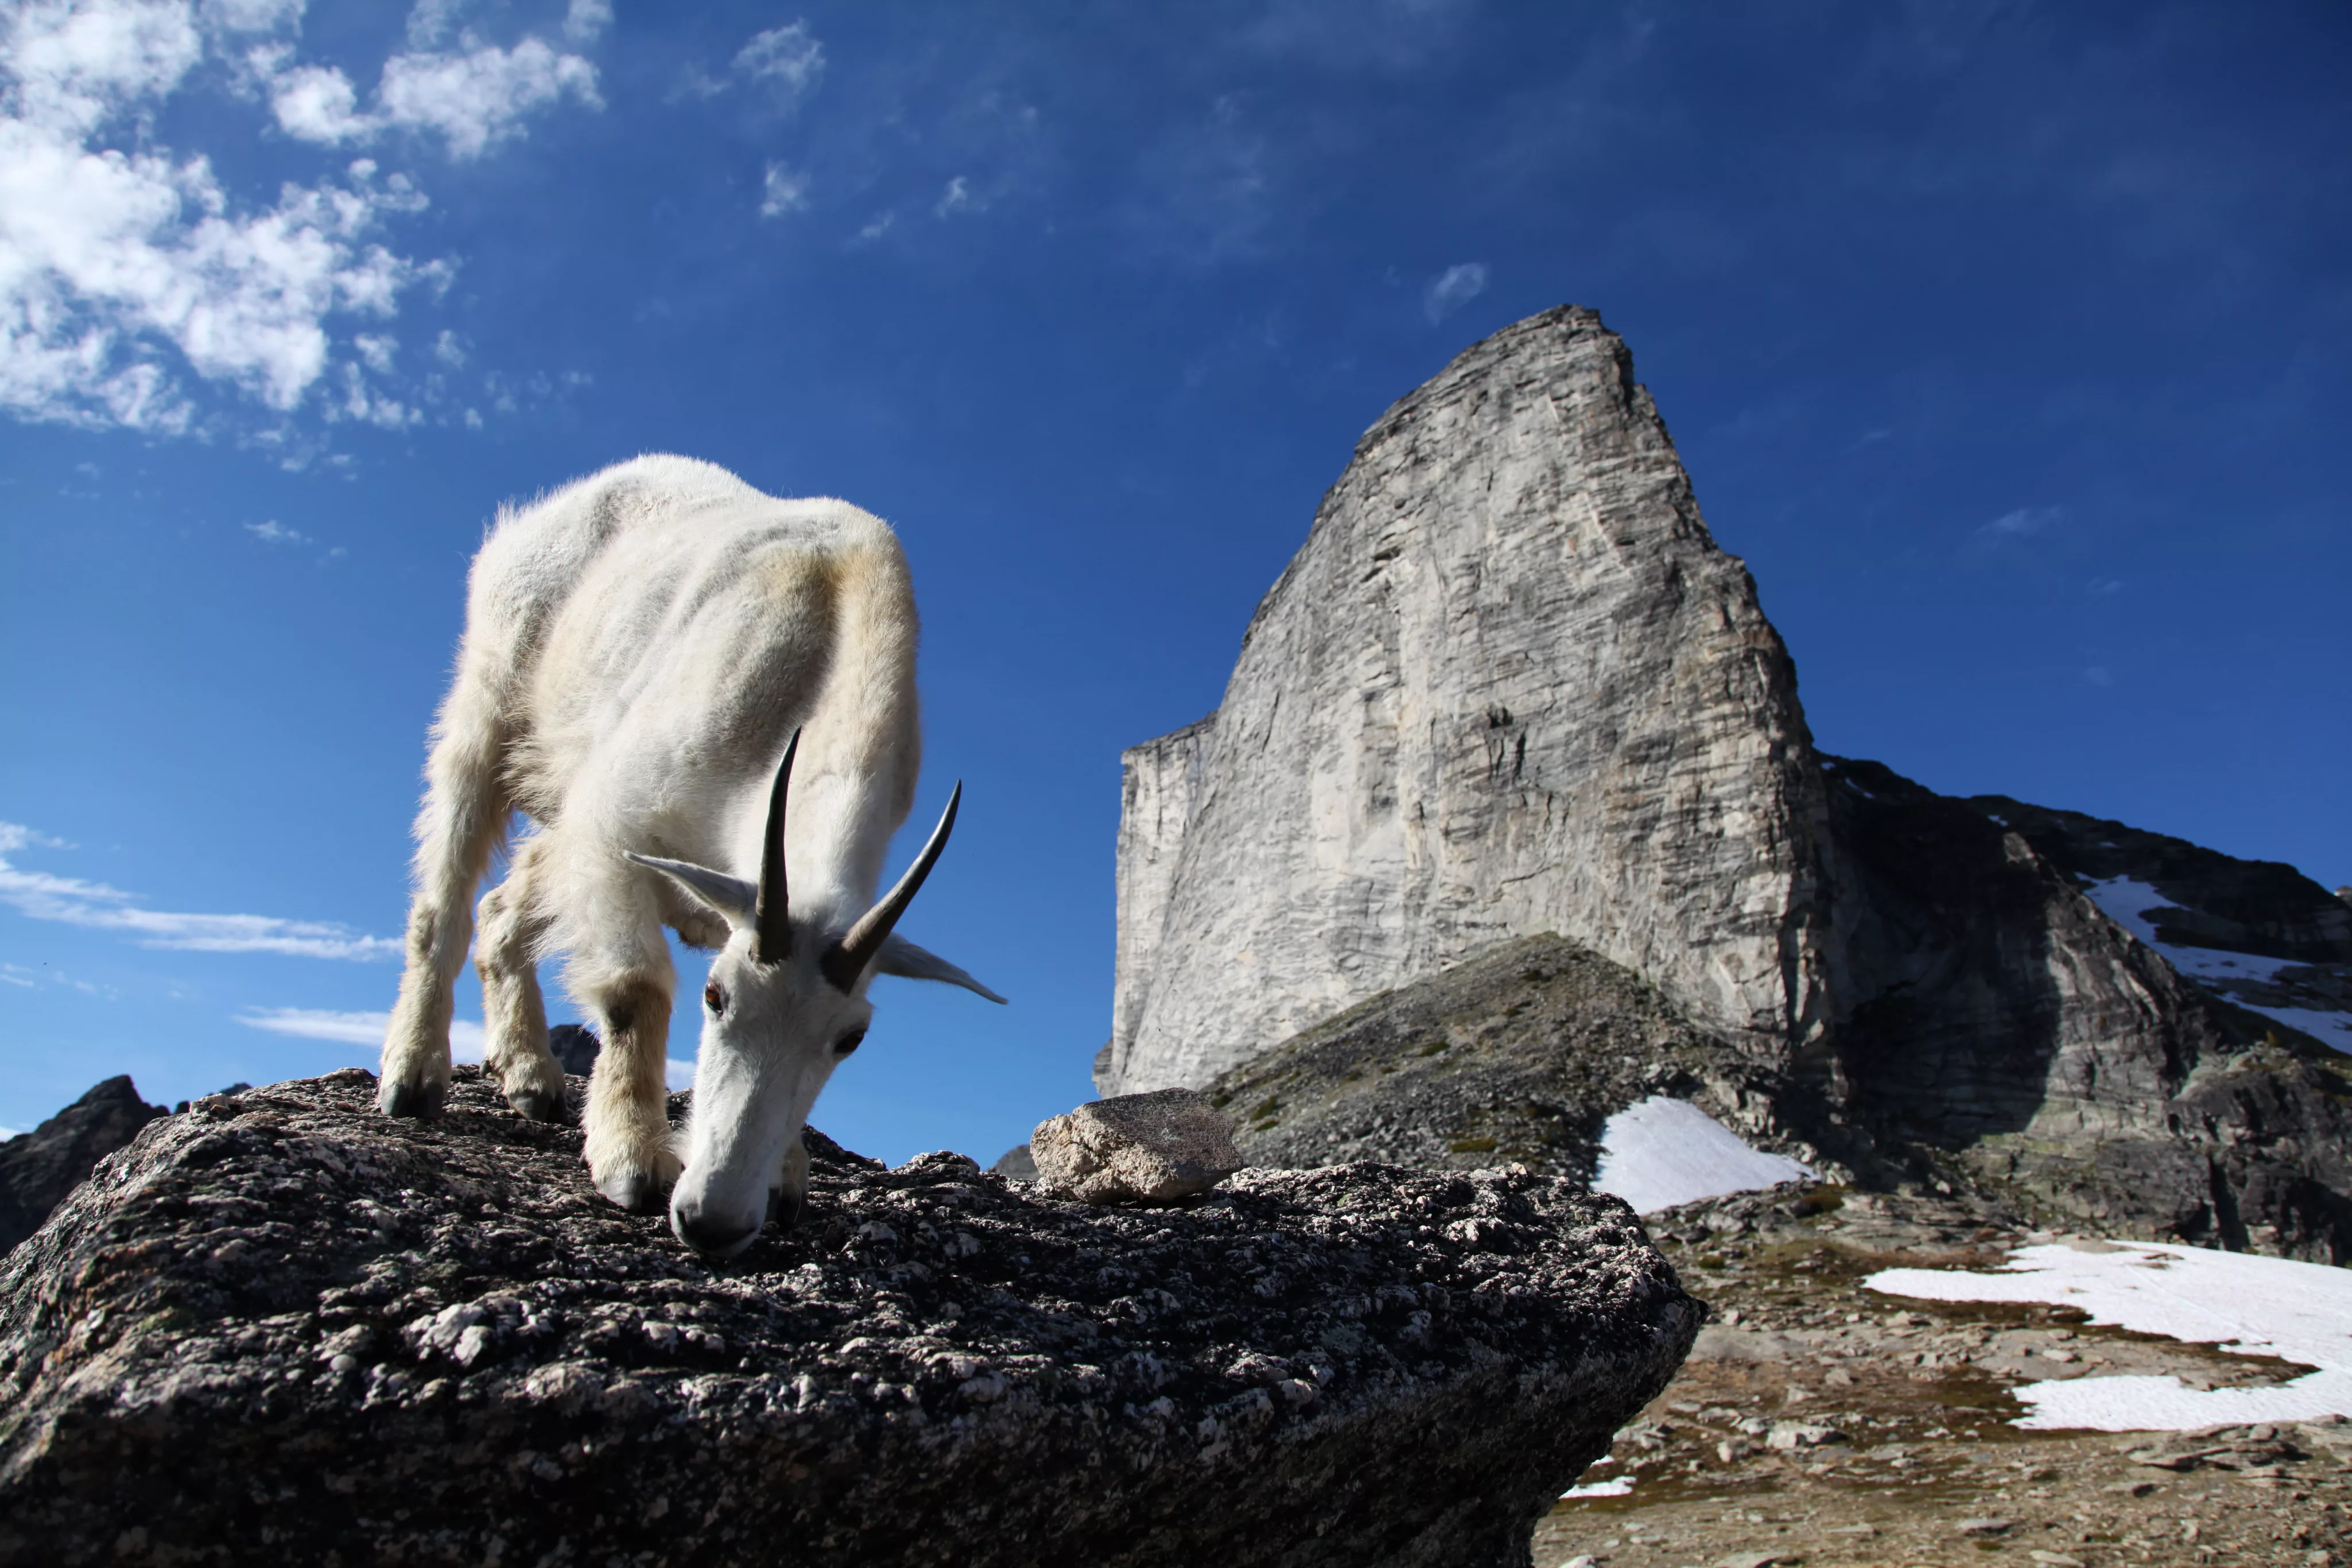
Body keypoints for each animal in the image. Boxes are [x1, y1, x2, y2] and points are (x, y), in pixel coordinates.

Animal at [376, 455, 1002, 1258]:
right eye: (714, 996)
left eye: (852, 1037)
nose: (713, 1222)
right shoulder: (615, 824)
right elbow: (634, 987)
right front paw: (633, 1160)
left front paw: (785, 1177)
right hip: (490, 698)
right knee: (448, 888)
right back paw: (414, 1075)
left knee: (505, 900)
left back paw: (530, 1075)